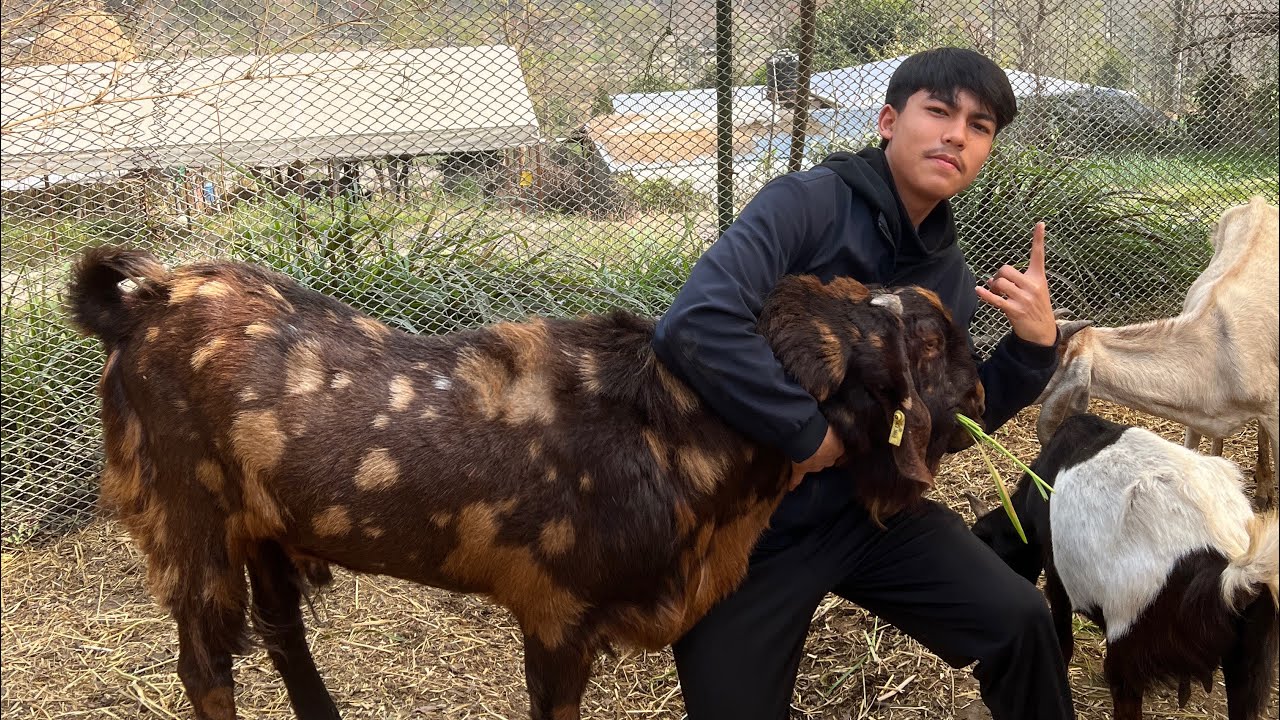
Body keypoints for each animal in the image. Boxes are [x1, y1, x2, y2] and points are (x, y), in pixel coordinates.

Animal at [66, 245, 984, 720]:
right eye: (932, 348)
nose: (980, 396)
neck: (677, 428)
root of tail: (139, 298)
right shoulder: (555, 613)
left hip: (260, 524)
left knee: (284, 634)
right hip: (186, 517)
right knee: (203, 667)